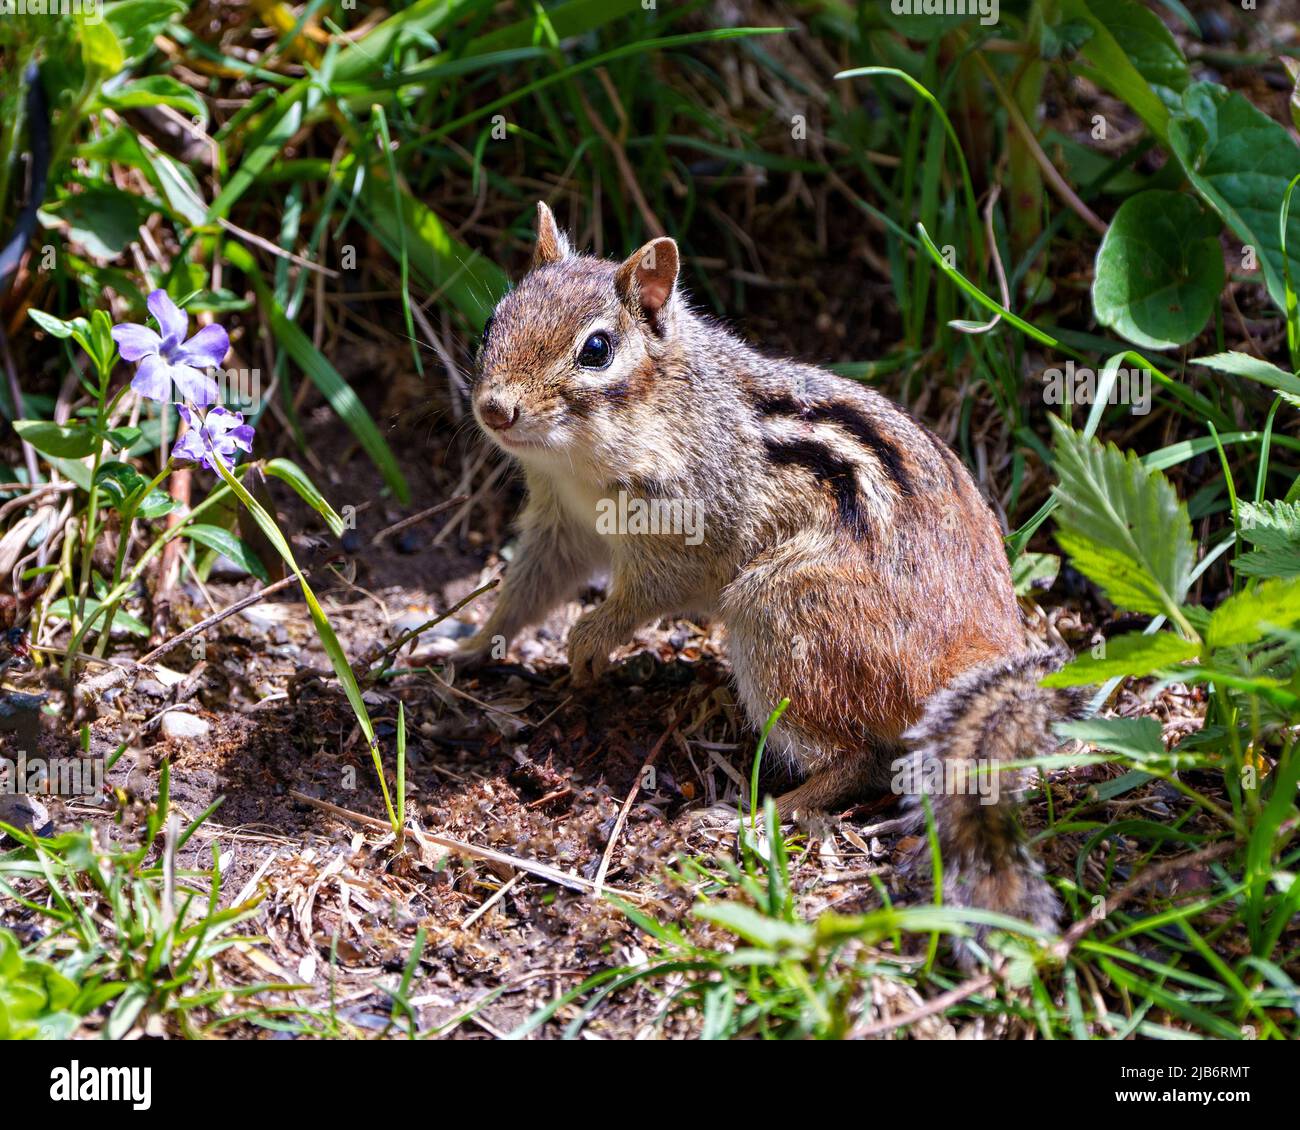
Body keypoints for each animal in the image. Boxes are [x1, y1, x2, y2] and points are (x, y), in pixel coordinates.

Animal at [456, 202, 1089, 950]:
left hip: (773, 613)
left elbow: (648, 591)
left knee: (857, 761)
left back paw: (751, 816)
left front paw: (589, 638)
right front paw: (463, 645)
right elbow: (527, 589)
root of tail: (977, 648)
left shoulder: (691, 524)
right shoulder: (561, 522)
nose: (495, 409)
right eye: (496, 317)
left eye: (597, 350)